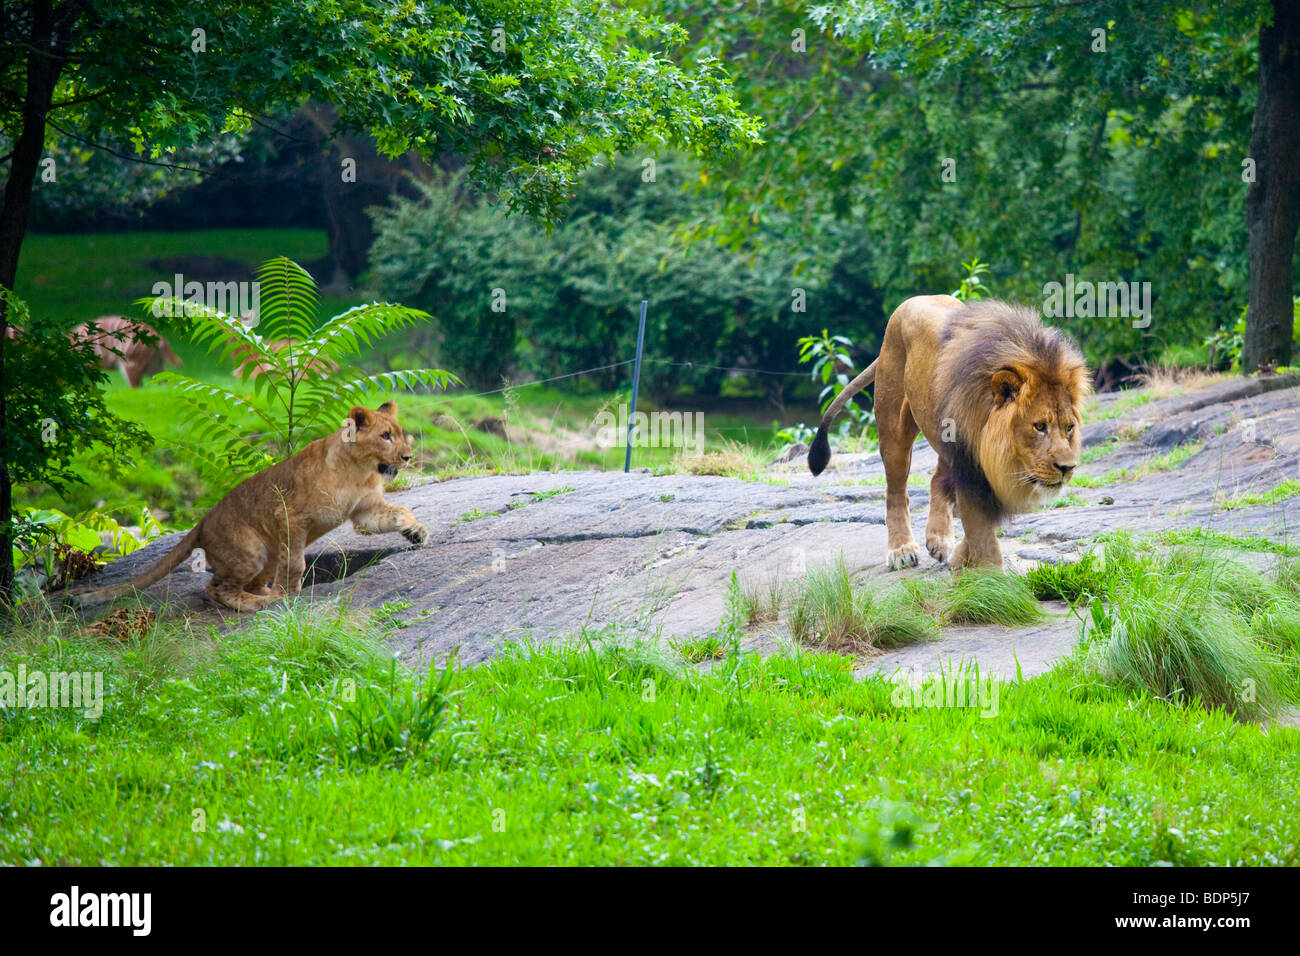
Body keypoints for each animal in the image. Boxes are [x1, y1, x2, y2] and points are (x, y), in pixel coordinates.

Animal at [74, 401, 427, 611]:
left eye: (399, 435)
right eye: (385, 436)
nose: (408, 457)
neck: (360, 470)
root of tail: (203, 521)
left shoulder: (364, 512)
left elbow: (398, 512)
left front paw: (416, 532)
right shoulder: (289, 514)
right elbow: (296, 563)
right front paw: (287, 595)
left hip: (267, 555)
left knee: (244, 581)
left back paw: (261, 595)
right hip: (250, 551)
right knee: (215, 587)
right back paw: (255, 602)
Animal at [807, 295, 1090, 570]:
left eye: (1069, 427)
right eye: (1039, 426)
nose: (1067, 468)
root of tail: (910, 301)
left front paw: (960, 557)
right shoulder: (968, 466)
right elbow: (984, 539)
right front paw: (991, 579)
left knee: (936, 480)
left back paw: (939, 539)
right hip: (894, 430)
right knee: (896, 492)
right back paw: (901, 549)